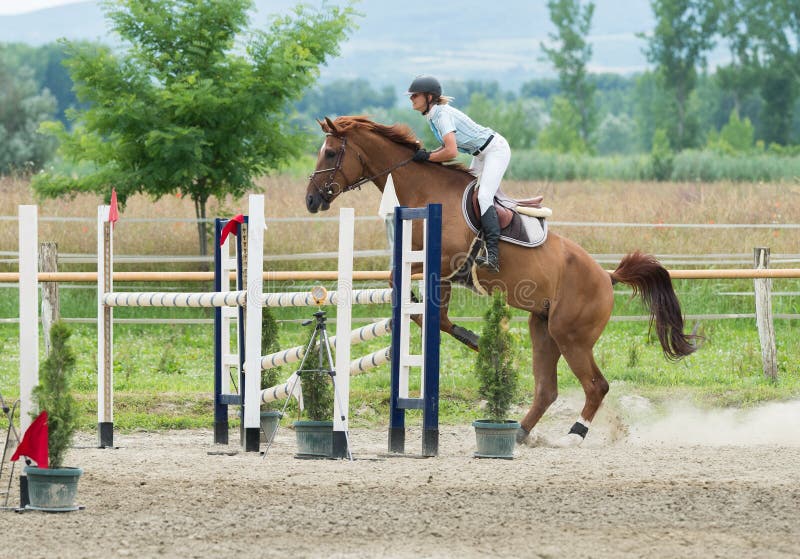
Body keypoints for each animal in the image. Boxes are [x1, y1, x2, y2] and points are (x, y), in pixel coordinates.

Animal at [305, 115, 695, 446]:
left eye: (331, 151)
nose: (310, 200)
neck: (423, 190)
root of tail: (607, 276)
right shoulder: (441, 273)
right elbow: (434, 316)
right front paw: (477, 341)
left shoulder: (444, 263)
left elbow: (402, 285)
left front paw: (471, 336)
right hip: (543, 328)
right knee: (547, 389)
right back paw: (520, 432)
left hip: (572, 336)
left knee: (596, 385)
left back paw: (574, 434)